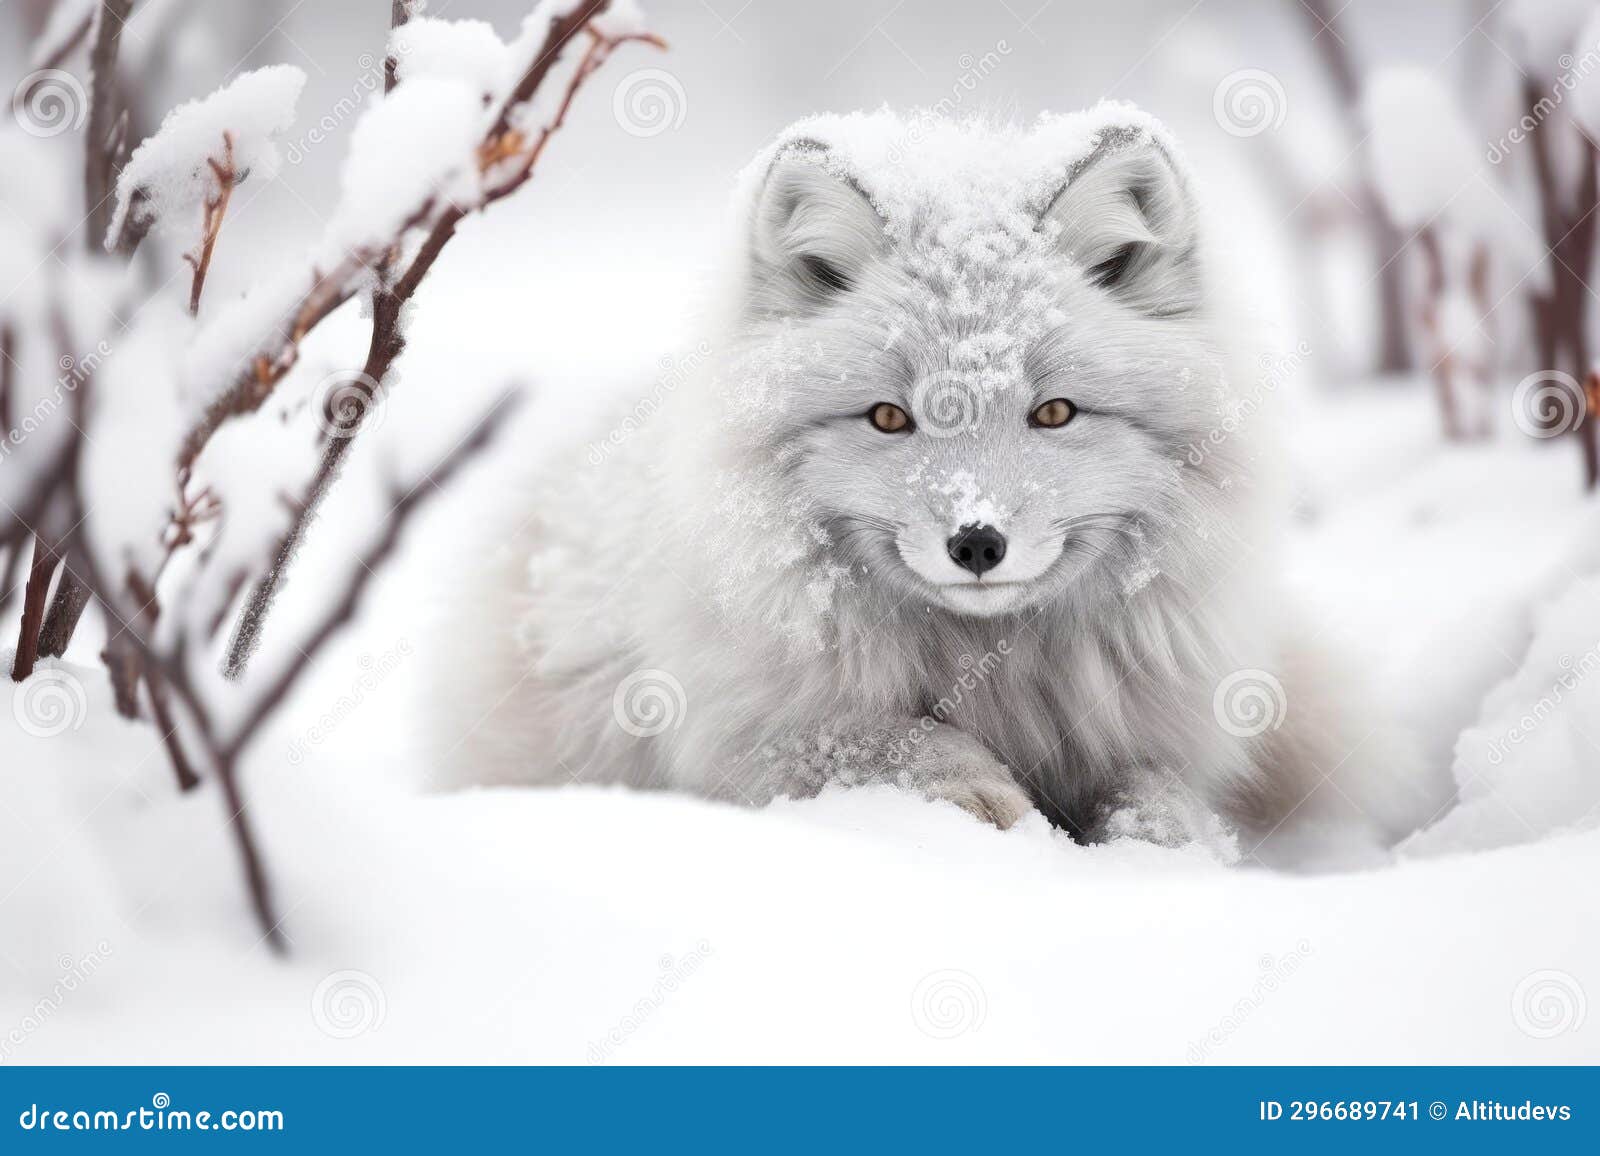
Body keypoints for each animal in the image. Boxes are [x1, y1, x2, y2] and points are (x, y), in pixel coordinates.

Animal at [434, 106, 1438, 865]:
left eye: (1054, 413)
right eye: (889, 419)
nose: (977, 542)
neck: (997, 673)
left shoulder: (1158, 728)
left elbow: (1160, 793)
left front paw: (1160, 853)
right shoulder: (737, 738)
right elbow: (882, 737)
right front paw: (980, 800)